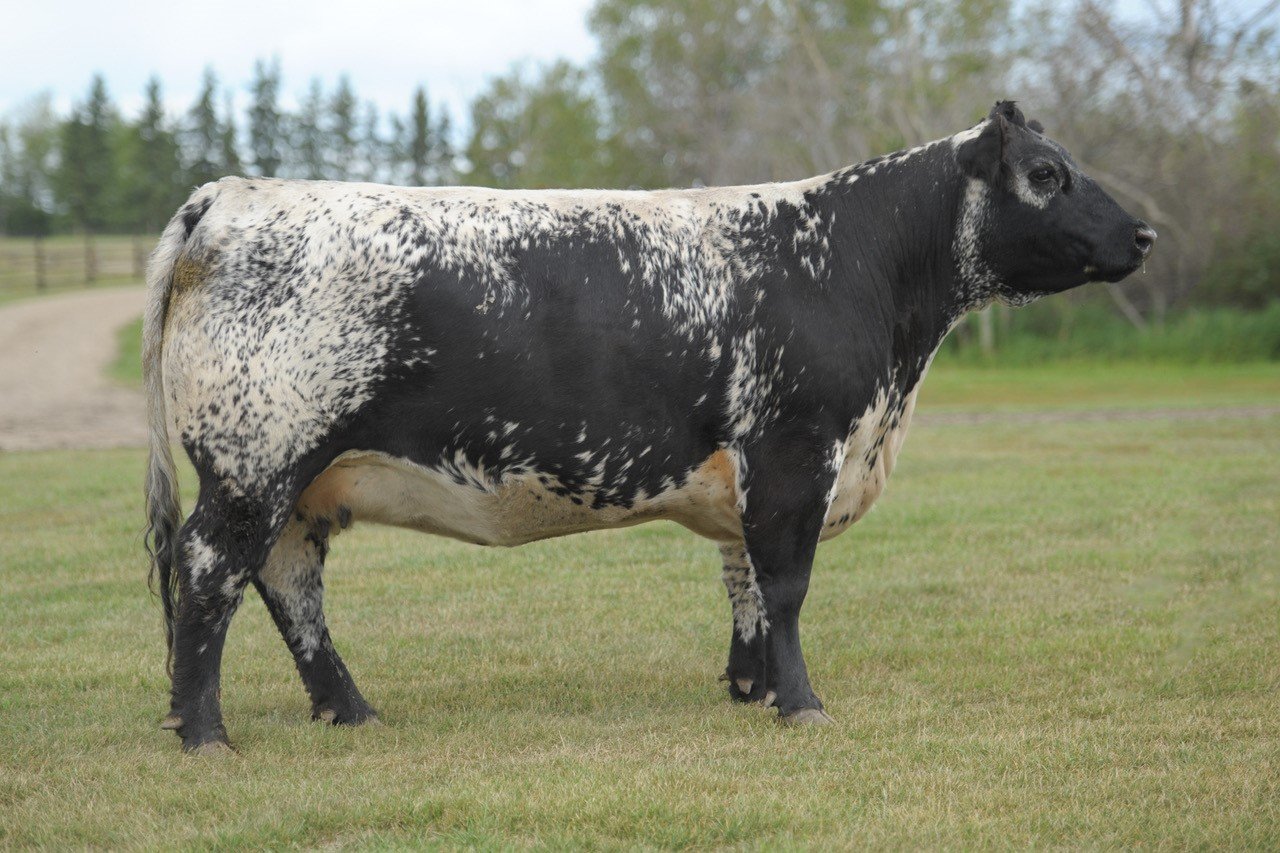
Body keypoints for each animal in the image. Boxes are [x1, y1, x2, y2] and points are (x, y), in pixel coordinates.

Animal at [144, 101, 1155, 753]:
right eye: (1047, 174)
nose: (1144, 235)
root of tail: (233, 193)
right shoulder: (795, 450)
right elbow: (788, 584)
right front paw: (801, 704)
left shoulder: (748, 472)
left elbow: (746, 585)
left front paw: (750, 689)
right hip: (254, 462)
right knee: (211, 573)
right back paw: (204, 733)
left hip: (297, 480)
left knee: (289, 582)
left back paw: (348, 710)